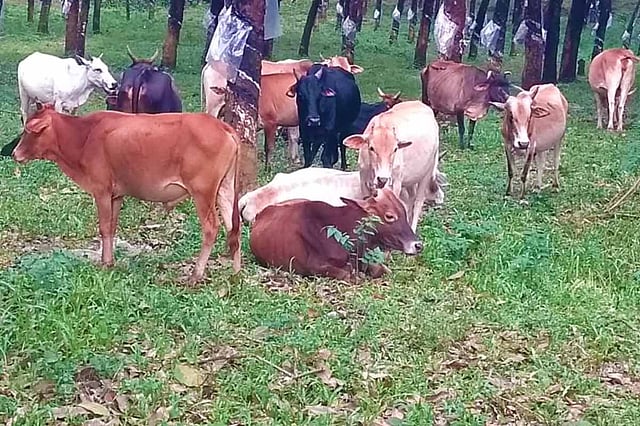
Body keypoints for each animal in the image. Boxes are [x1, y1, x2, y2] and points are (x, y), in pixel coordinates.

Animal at [10, 103, 241, 283]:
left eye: (30, 130)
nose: (14, 153)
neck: (83, 136)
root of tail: (221, 125)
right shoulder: (116, 194)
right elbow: (112, 227)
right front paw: (110, 261)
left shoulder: (101, 189)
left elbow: (104, 227)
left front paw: (105, 264)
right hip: (225, 189)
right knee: (233, 227)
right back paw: (236, 272)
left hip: (203, 191)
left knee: (211, 227)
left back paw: (196, 274)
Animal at [250, 188, 422, 281]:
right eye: (389, 216)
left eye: (404, 211)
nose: (418, 245)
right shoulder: (315, 267)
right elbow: (350, 275)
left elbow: (383, 270)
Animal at [343, 101, 446, 232]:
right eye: (371, 148)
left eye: (395, 149)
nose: (382, 179)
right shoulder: (364, 180)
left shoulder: (396, 184)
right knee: (411, 199)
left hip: (427, 172)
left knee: (418, 202)